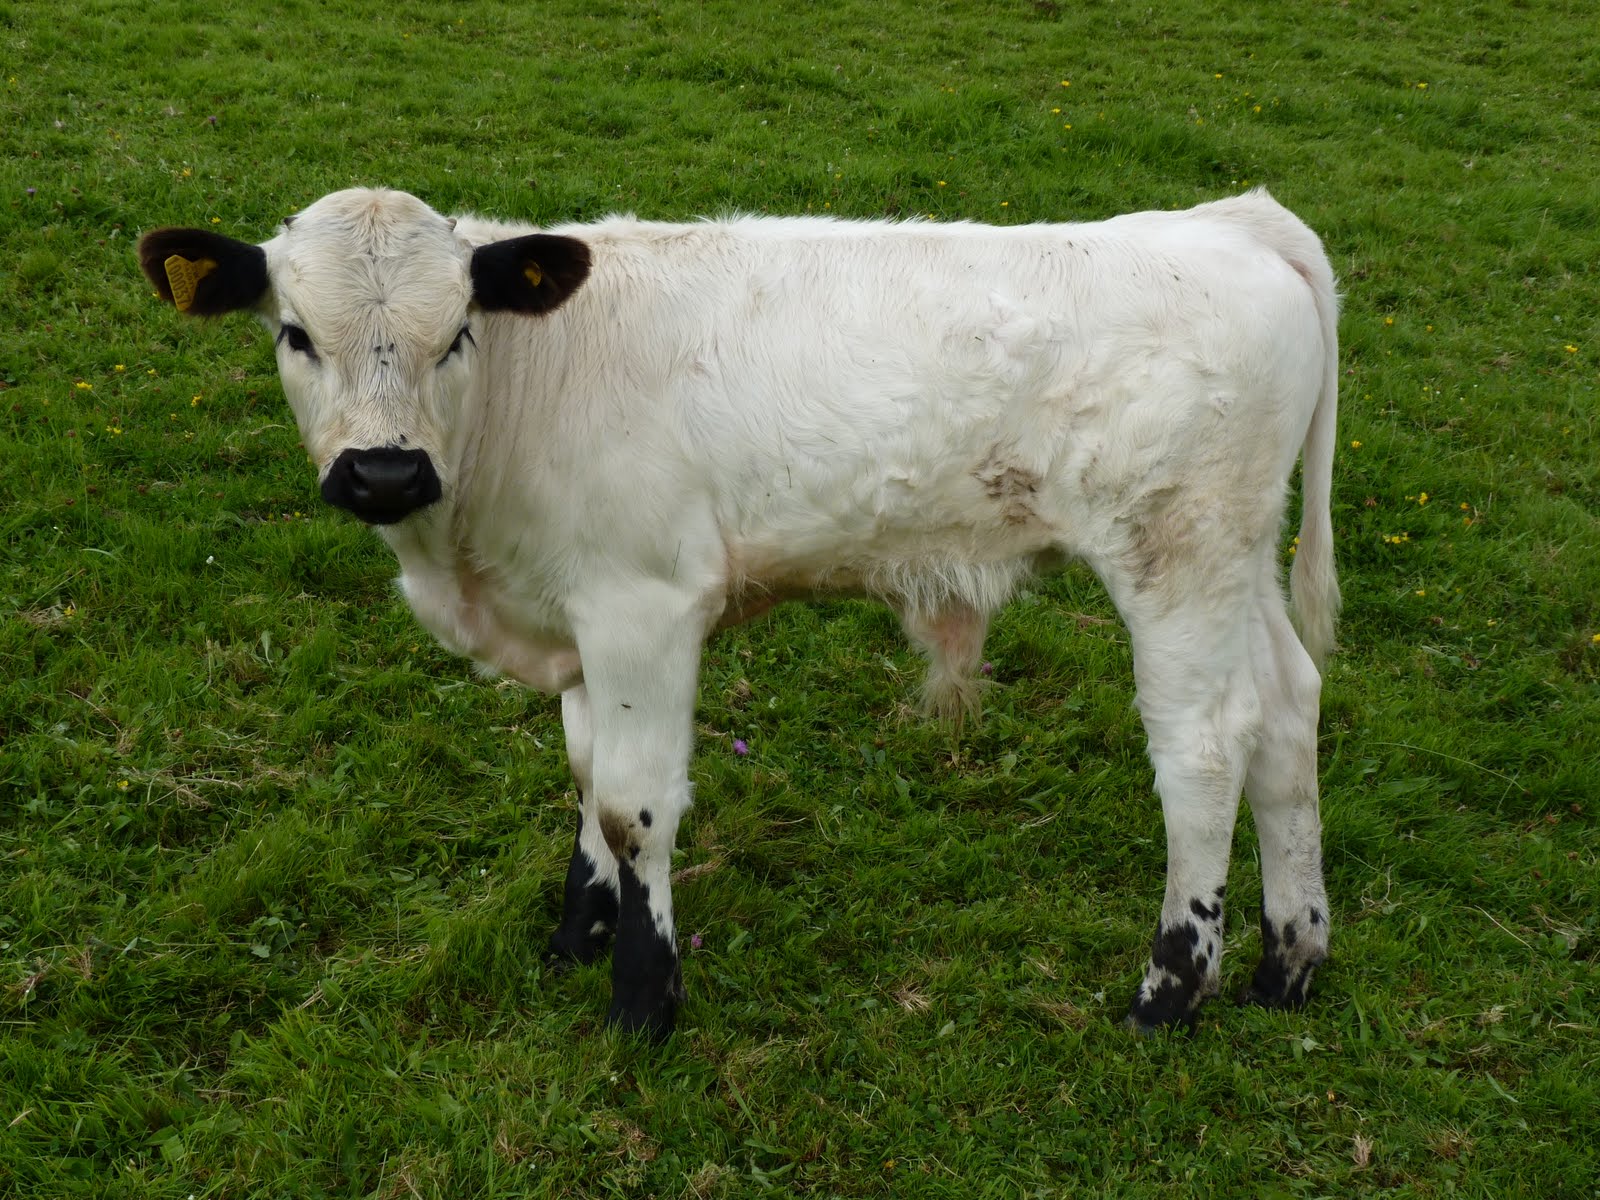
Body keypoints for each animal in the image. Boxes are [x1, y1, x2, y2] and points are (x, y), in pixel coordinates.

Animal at [139, 186, 1340, 1039]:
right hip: (1239, 562)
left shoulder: (645, 607)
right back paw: (1290, 961)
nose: (384, 474)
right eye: (295, 334)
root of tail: (1228, 222)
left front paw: (642, 999)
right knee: (1286, 713)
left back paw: (1169, 993)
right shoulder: (583, 613)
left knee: (1204, 750)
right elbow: (584, 774)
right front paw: (580, 932)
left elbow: (632, 805)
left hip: (1173, 559)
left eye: (458, 335)